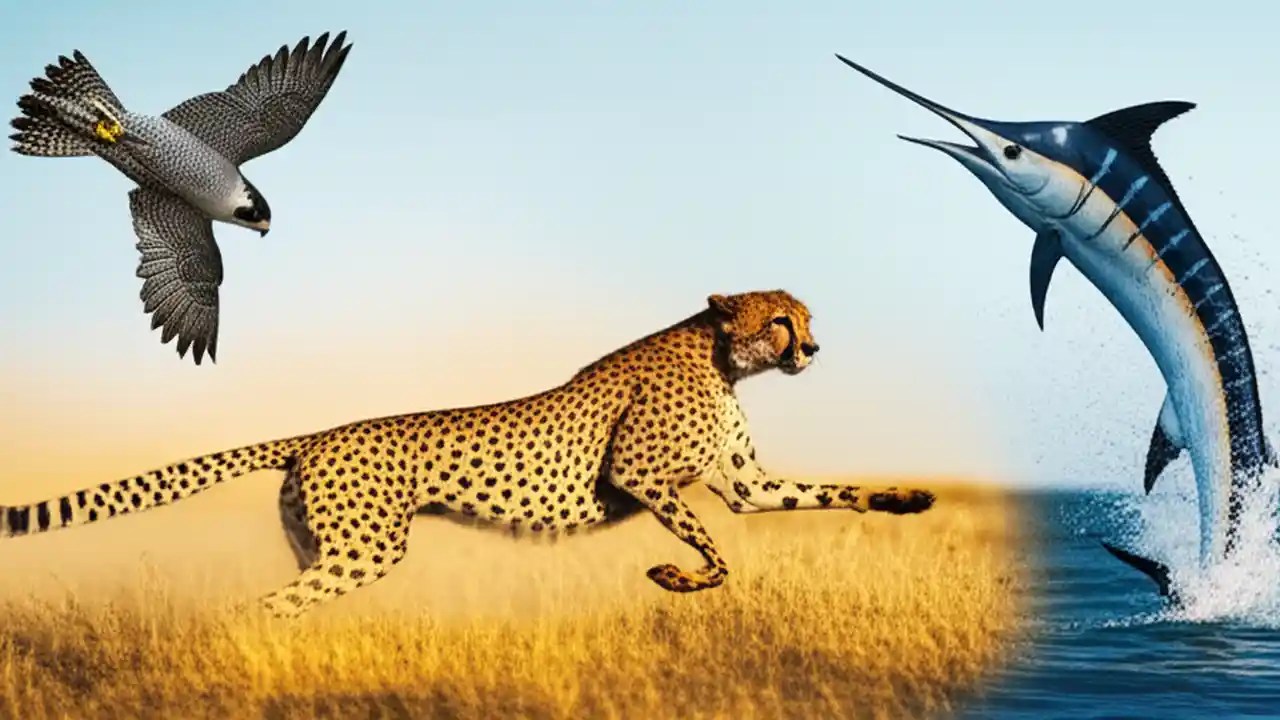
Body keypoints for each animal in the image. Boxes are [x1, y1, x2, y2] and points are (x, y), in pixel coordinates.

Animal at [0, 290, 935, 617]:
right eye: (782, 320)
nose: (813, 348)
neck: (722, 355)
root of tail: (318, 433)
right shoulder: (640, 475)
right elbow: (714, 548)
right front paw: (675, 577)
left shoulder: (748, 485)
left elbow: (826, 491)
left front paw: (907, 501)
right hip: (368, 550)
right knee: (260, 605)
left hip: (325, 546)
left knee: (283, 601)